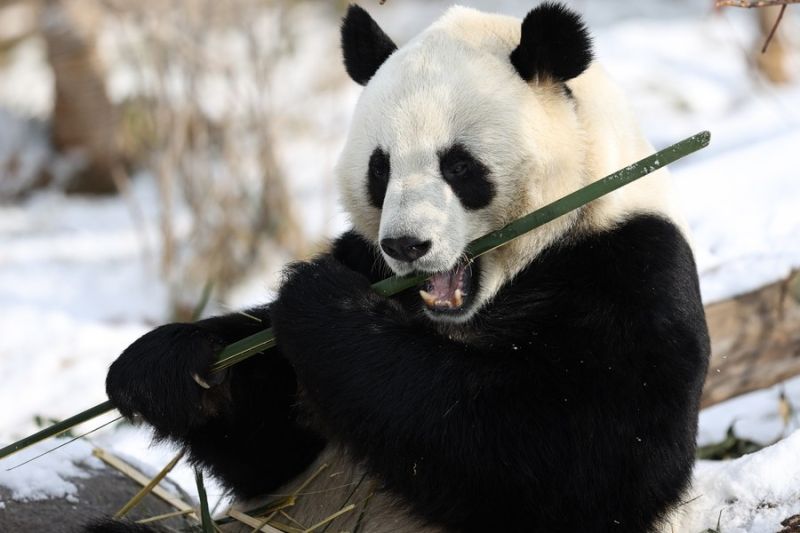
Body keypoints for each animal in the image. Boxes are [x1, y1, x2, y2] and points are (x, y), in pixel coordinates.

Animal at [96, 3, 709, 533]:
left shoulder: (631, 271)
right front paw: (165, 367)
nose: (406, 245)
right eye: (380, 169)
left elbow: (579, 455)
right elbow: (270, 442)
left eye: (459, 165)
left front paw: (320, 304)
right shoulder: (364, 259)